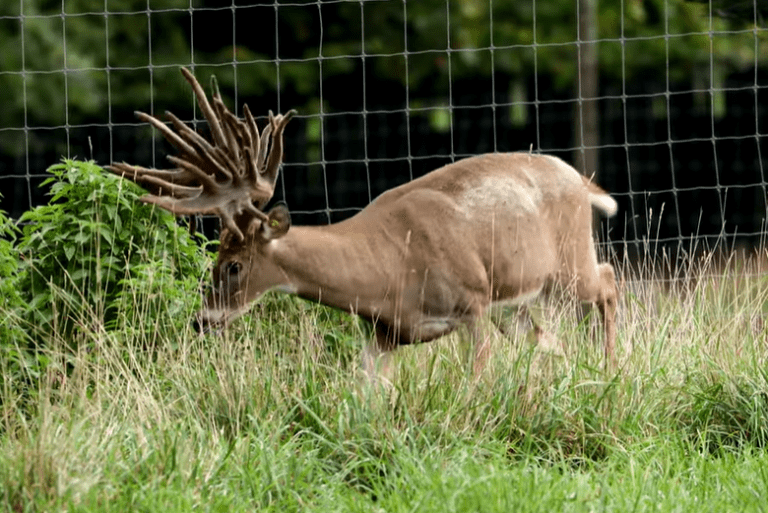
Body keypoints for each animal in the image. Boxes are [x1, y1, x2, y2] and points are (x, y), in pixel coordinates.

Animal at [108, 68, 618, 378]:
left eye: (233, 266)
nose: (201, 320)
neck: (388, 269)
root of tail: (579, 178)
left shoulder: (471, 301)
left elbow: (477, 378)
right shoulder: (384, 334)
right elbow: (365, 393)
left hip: (567, 265)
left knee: (609, 282)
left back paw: (611, 367)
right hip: (516, 306)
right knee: (550, 340)